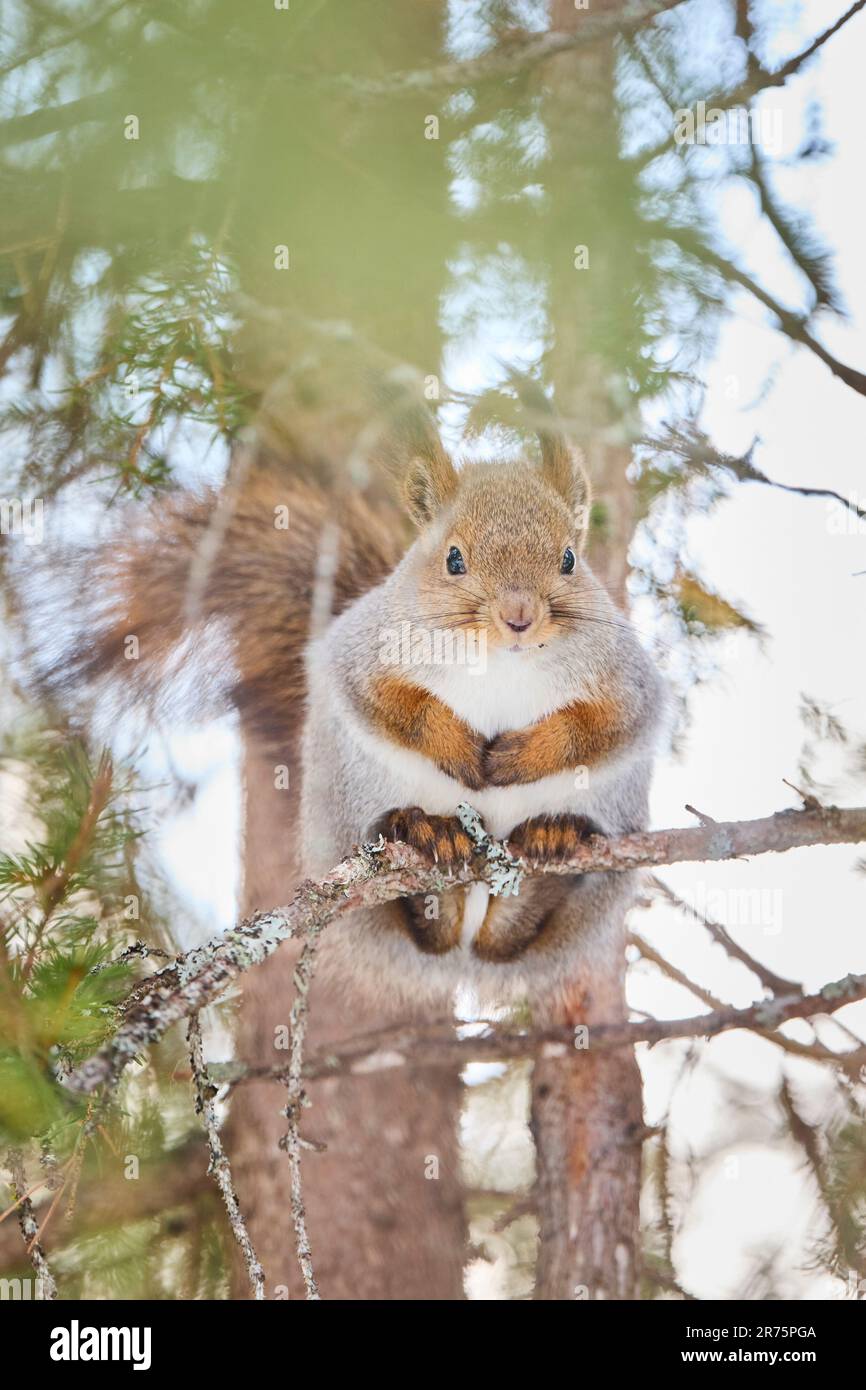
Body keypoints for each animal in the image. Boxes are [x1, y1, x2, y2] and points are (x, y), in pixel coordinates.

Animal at [47, 407, 666, 1022]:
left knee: (508, 937)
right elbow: (390, 706)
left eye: (569, 559)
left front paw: (521, 755)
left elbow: (604, 728)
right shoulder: (362, 654)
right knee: (426, 922)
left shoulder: (626, 681)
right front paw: (459, 748)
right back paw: (424, 836)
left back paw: (550, 844)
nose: (519, 617)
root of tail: (462, 950)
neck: (501, 660)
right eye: (454, 559)